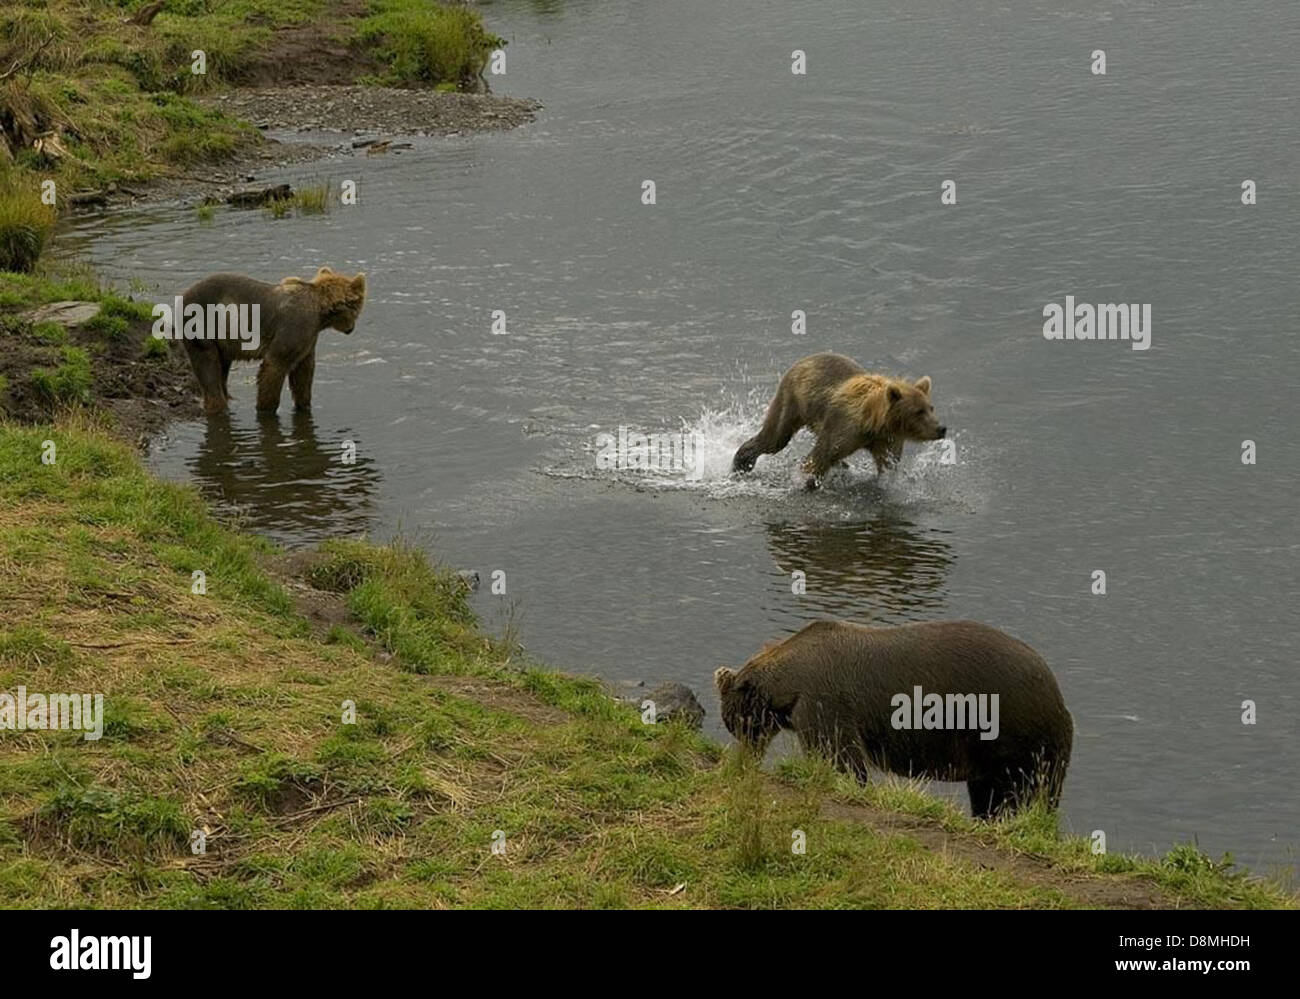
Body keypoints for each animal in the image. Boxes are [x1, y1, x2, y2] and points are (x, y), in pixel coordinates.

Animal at [177, 266, 366, 415]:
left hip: (221, 339)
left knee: (221, 369)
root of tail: (181, 297)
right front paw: (265, 408)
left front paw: (304, 405)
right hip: (203, 325)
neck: (320, 314)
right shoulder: (294, 327)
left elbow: (303, 373)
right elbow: (274, 366)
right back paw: (218, 407)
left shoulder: (308, 340)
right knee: (208, 367)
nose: (351, 329)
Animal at [714, 619, 1073, 818]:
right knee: (994, 792)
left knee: (1017, 790)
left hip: (1009, 729)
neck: (789, 685)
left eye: (737, 723)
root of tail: (1057, 693)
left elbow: (841, 758)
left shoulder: (823, 704)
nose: (745, 755)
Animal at [732, 352, 946, 488]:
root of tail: (803, 360)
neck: (873, 423)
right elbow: (819, 457)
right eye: (918, 411)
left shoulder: (886, 439)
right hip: (791, 400)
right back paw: (741, 464)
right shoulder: (845, 426)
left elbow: (888, 465)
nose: (941, 428)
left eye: (931, 407)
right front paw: (806, 481)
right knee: (774, 438)